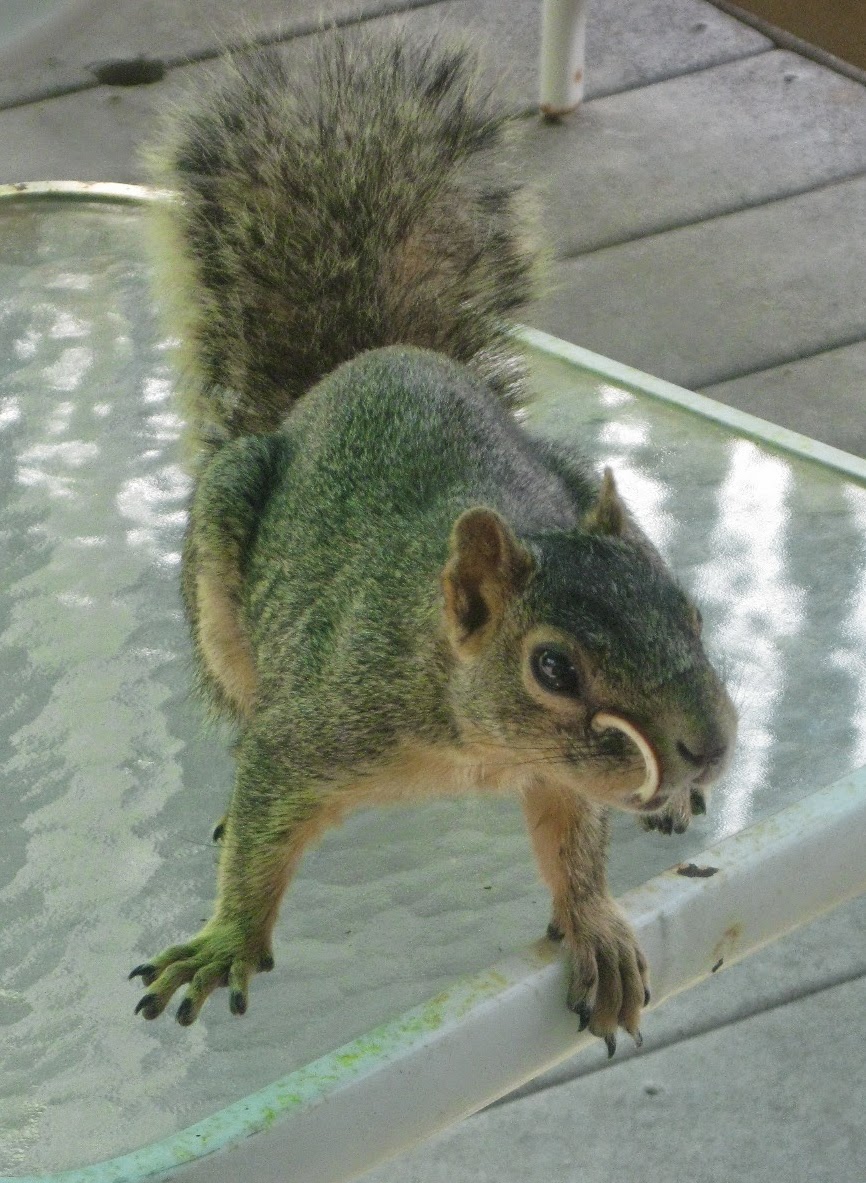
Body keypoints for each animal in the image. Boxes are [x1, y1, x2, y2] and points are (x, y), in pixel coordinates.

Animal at [130, 33, 737, 1055]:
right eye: (553, 668)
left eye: (689, 610)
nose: (711, 748)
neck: (469, 738)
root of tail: (357, 364)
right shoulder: (322, 723)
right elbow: (261, 832)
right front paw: (223, 941)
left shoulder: (561, 776)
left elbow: (574, 848)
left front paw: (597, 927)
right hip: (222, 567)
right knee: (240, 697)